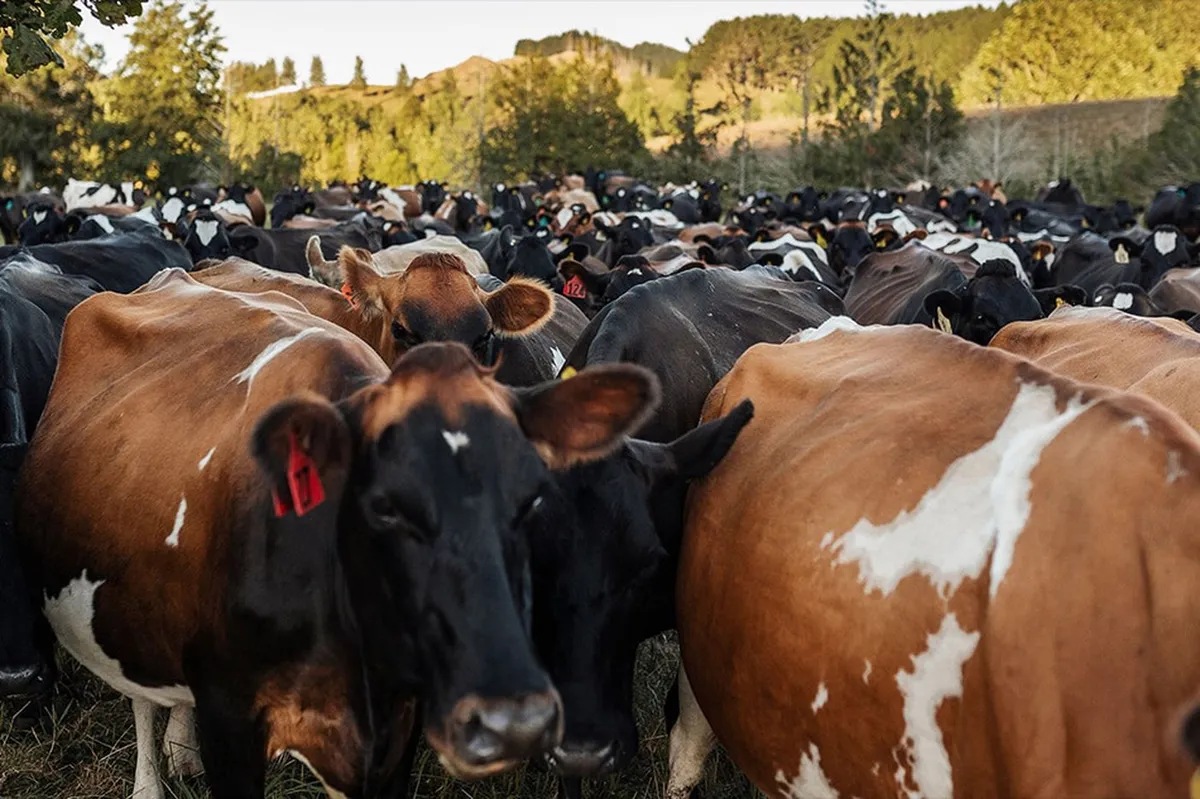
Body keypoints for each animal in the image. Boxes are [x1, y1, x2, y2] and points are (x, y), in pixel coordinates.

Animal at [17, 269, 659, 797]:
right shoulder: (232, 721)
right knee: (140, 700)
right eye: (384, 507)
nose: (514, 722)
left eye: (531, 500)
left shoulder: (393, 729)